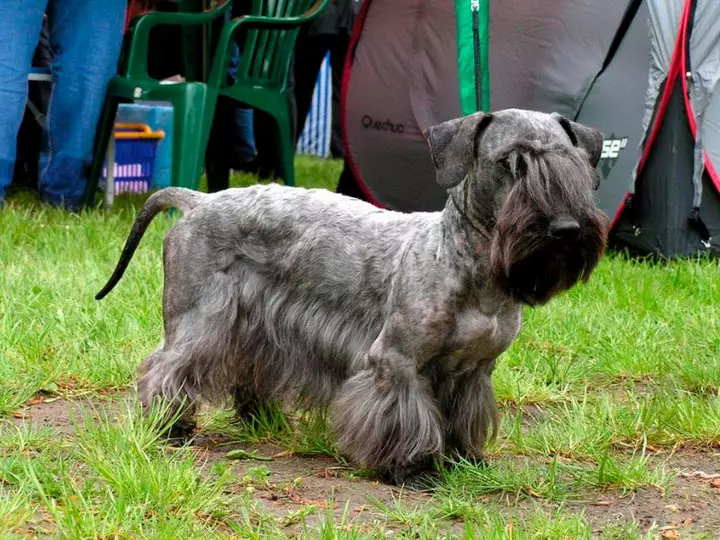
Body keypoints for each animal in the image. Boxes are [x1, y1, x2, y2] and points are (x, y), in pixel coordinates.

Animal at [95, 108, 608, 486]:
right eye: (510, 163)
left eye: (574, 164)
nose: (565, 229)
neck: (471, 267)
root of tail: (198, 200)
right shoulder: (396, 362)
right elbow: (403, 415)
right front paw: (413, 468)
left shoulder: (474, 372)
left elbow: (464, 417)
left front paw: (465, 458)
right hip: (199, 321)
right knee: (164, 368)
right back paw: (171, 427)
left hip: (249, 326)